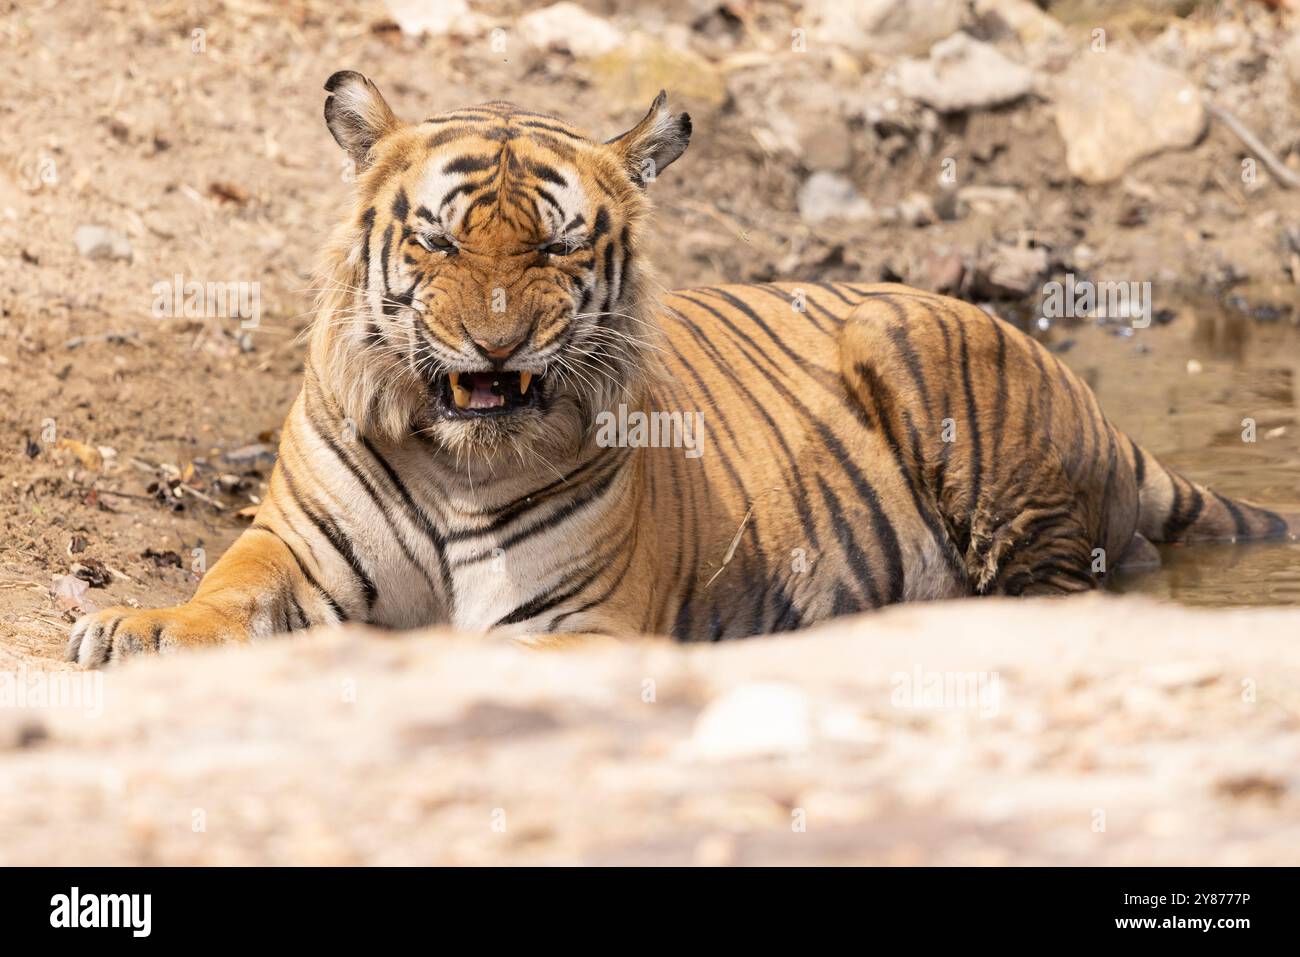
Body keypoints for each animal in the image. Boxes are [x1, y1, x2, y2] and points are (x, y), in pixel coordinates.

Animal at [67, 70, 1297, 666]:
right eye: (441, 242)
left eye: (558, 246)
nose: (496, 347)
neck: (458, 461)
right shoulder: (295, 546)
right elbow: (226, 591)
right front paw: (139, 628)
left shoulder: (580, 622)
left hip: (956, 408)